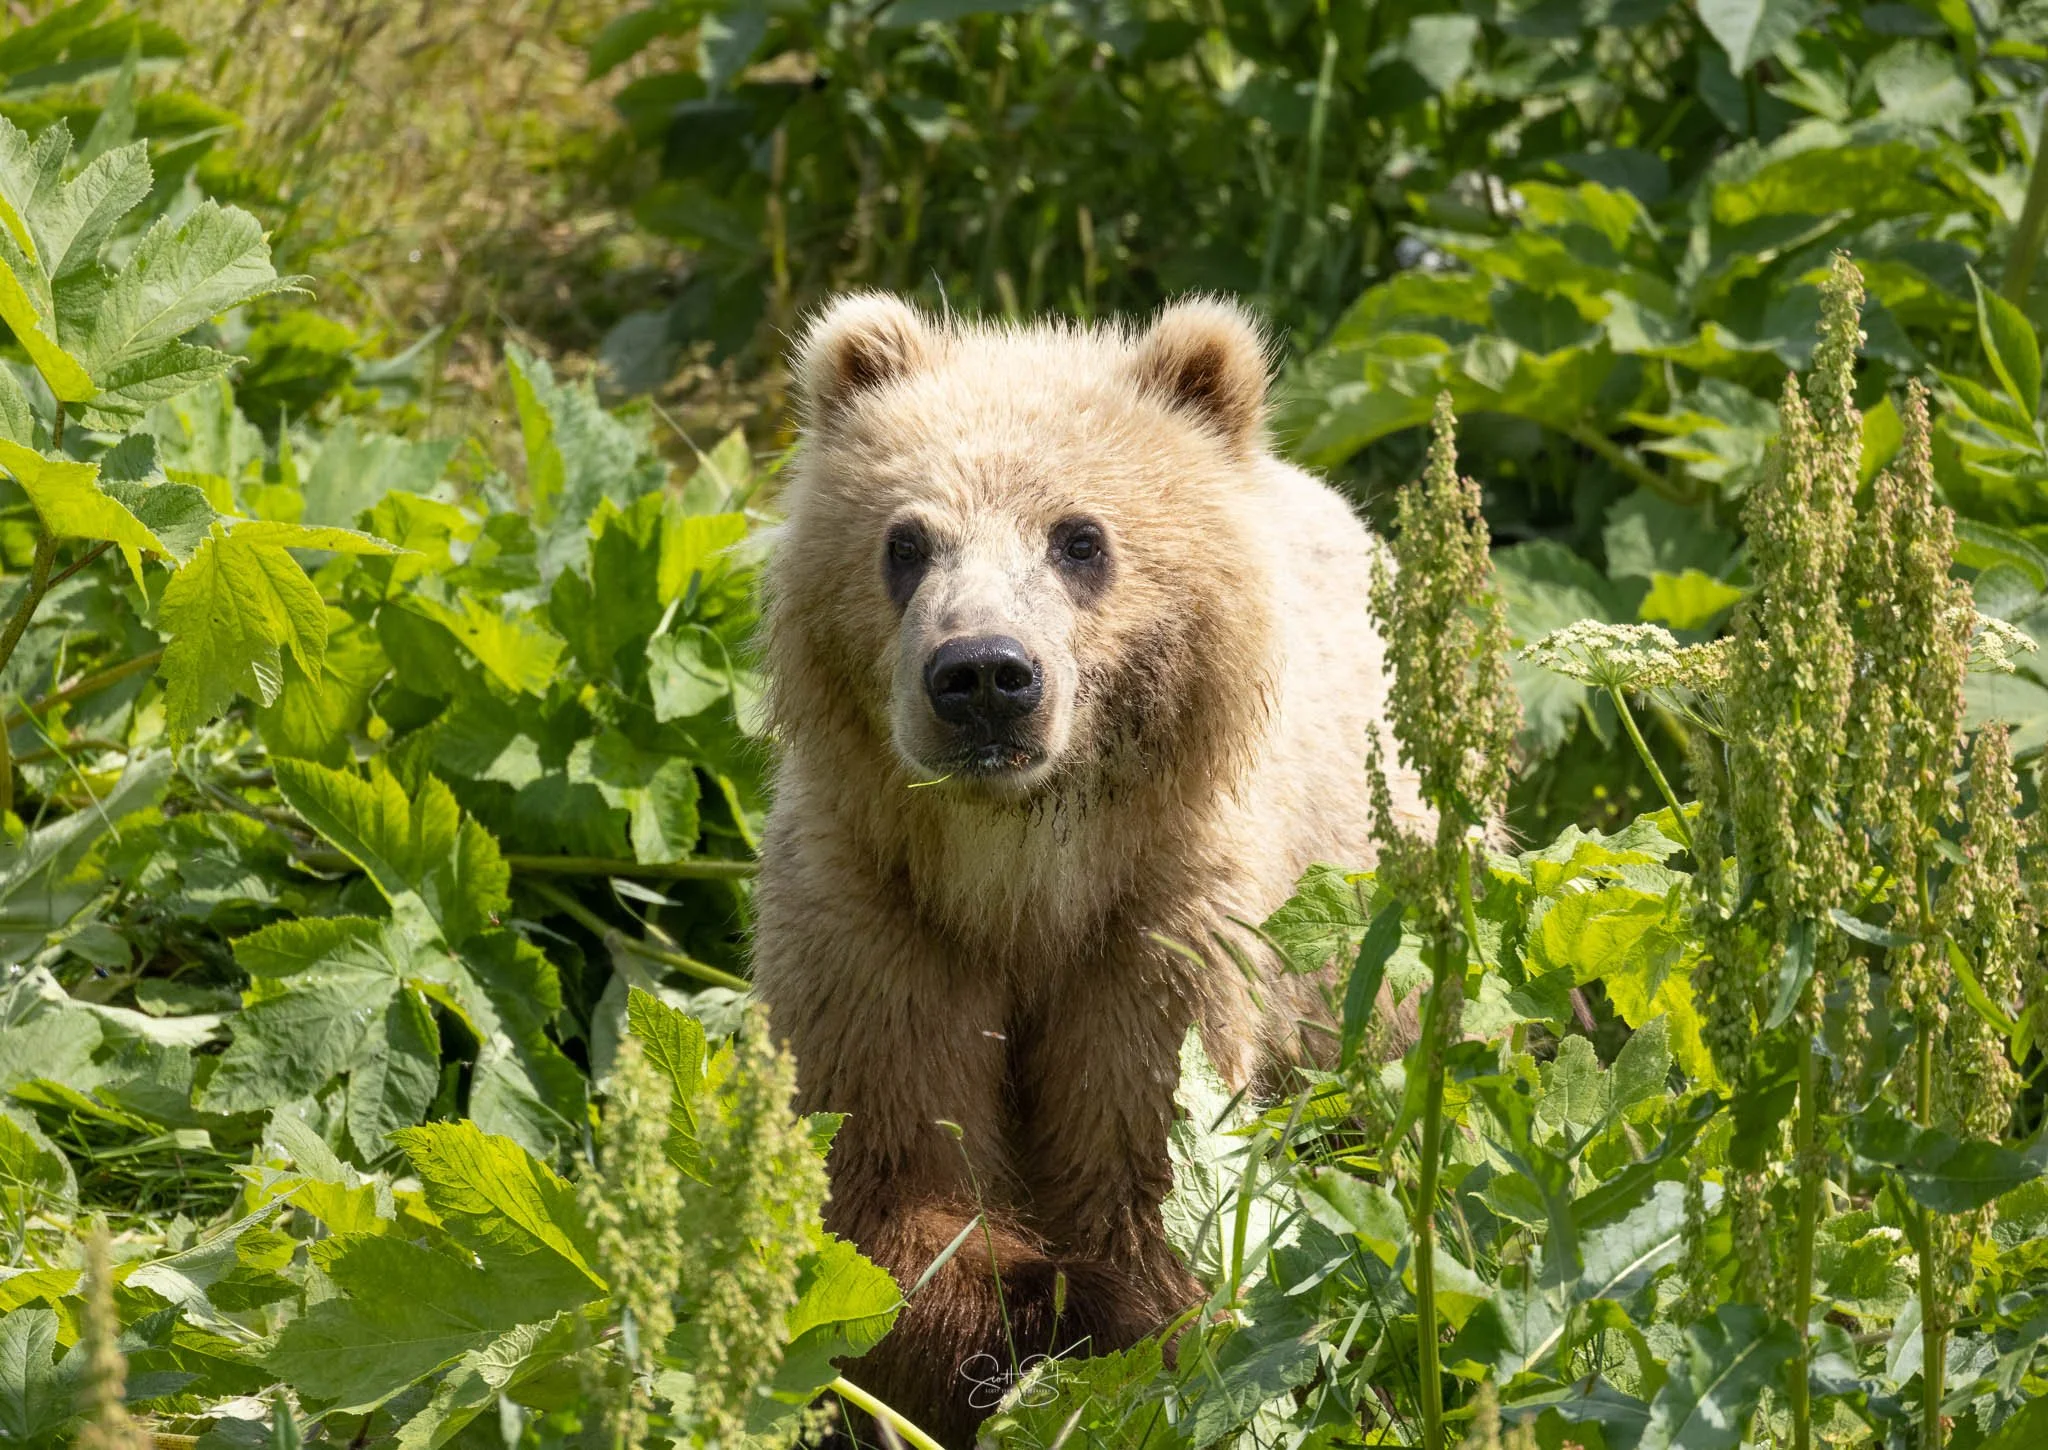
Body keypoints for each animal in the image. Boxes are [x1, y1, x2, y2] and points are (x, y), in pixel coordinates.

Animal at [751, 294, 1426, 1445]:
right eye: (905, 540)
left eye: (1080, 538)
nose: (983, 675)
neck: (1019, 882)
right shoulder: (876, 918)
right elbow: (885, 1193)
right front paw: (1034, 1318)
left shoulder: (1159, 930)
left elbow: (1154, 1174)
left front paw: (1122, 1329)